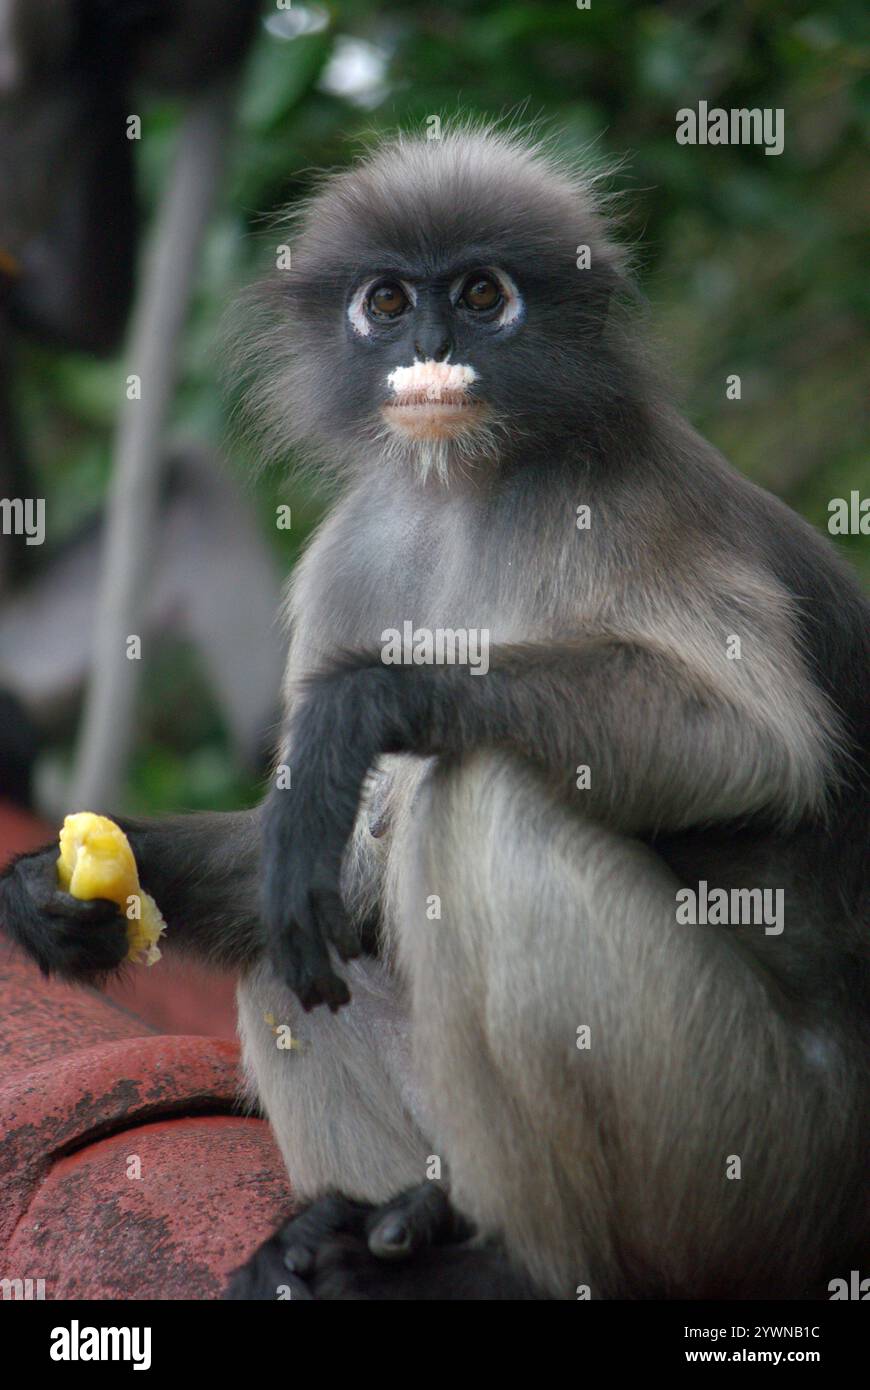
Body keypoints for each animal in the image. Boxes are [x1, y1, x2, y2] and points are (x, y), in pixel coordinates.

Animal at [1, 127, 868, 1300]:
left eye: (482, 294)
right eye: (386, 300)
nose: (430, 345)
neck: (464, 486)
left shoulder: (625, 497)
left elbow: (755, 747)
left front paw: (356, 708)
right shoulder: (353, 546)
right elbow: (310, 853)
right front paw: (49, 896)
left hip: (754, 1145)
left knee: (484, 806)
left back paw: (511, 1266)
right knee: (287, 931)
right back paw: (368, 1227)